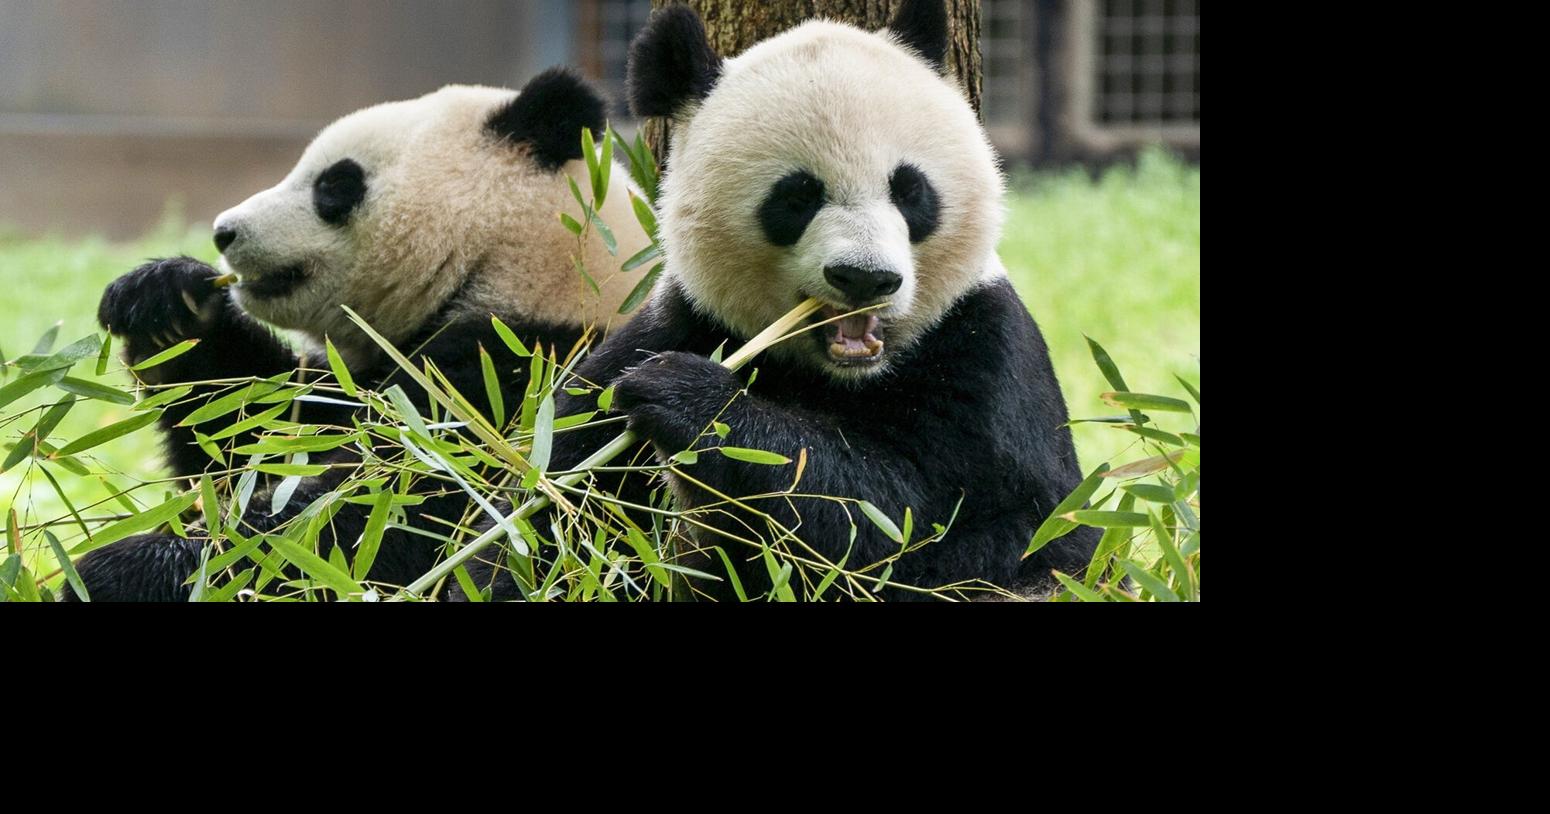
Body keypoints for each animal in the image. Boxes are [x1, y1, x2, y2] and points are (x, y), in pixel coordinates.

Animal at [67, 68, 650, 601]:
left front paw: (119, 571)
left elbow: (392, 521)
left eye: (335, 183)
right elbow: (246, 438)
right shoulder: (353, 379)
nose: (224, 232)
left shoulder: (523, 374)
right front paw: (166, 303)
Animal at [458, 0, 1100, 601]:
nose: (864, 278)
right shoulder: (679, 326)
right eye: (797, 196)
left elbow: (922, 530)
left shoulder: (985, 361)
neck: (840, 375)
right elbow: (547, 519)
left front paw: (691, 399)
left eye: (910, 189)